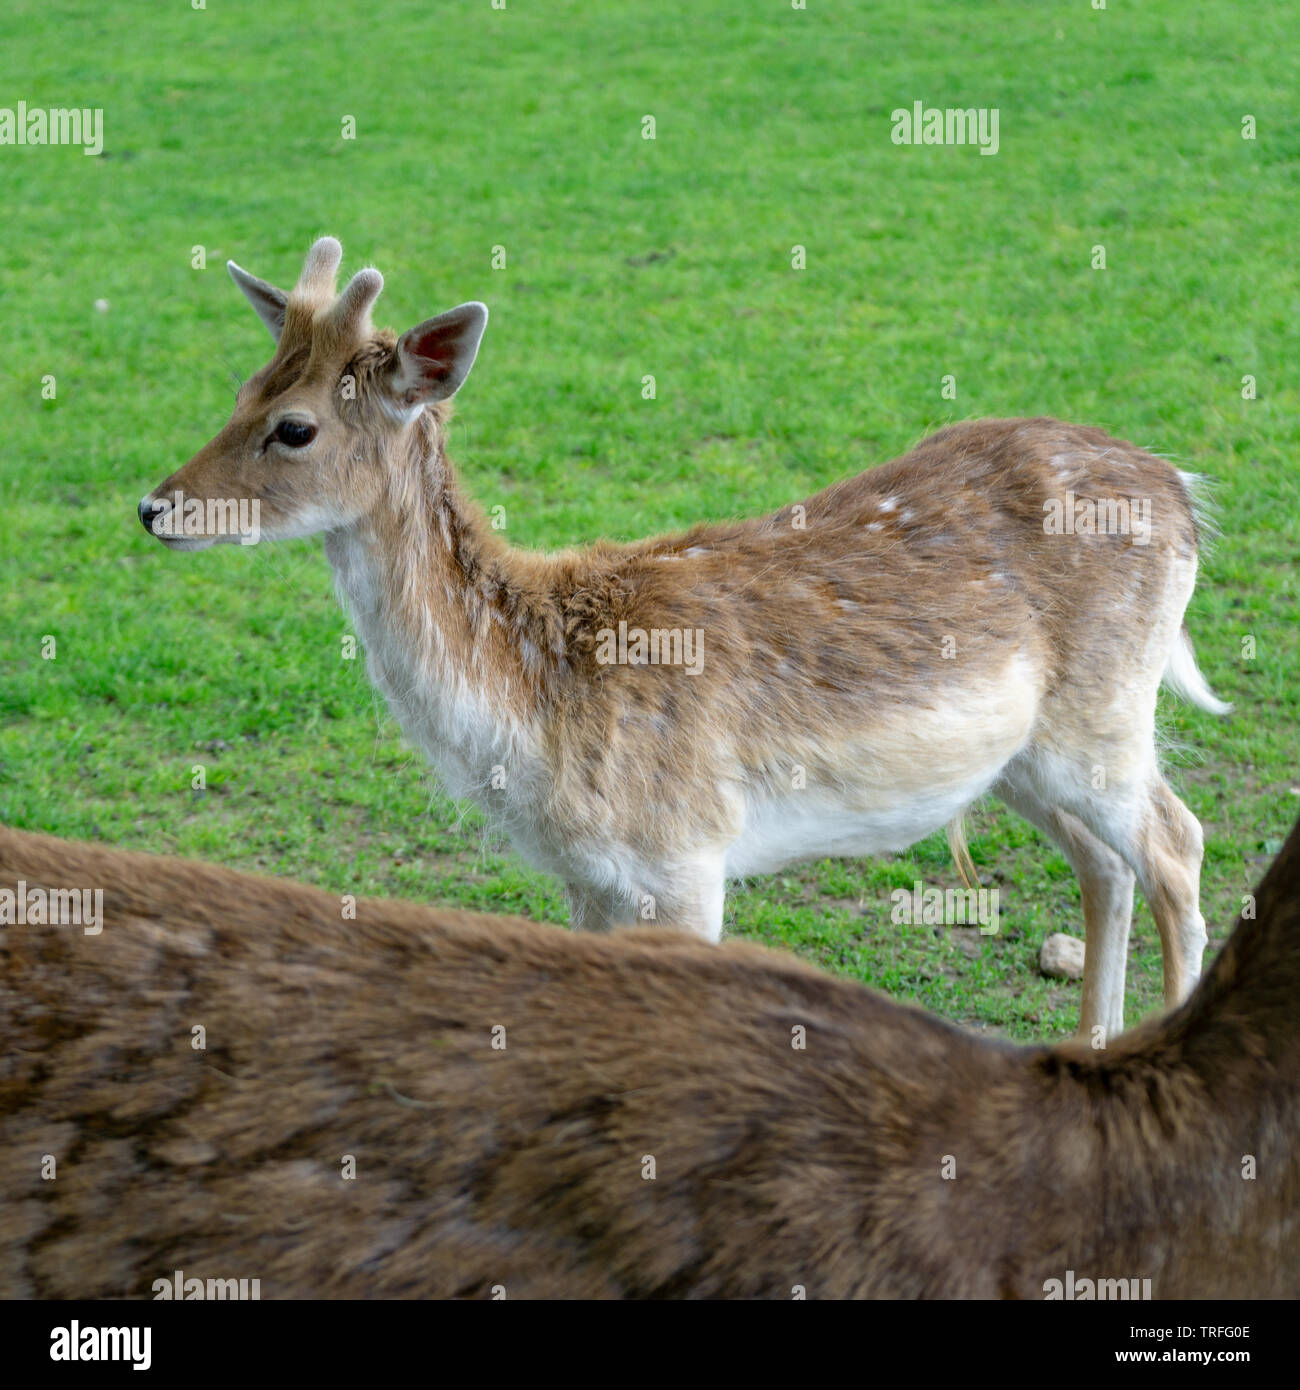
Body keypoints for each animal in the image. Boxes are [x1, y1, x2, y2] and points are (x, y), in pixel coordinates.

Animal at [137, 236, 1230, 1039]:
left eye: (295, 427)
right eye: (241, 389)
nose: (154, 507)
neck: (534, 711)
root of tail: (1187, 495)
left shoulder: (686, 853)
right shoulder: (589, 877)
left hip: (1104, 712)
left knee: (1177, 844)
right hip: (1020, 757)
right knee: (1107, 864)